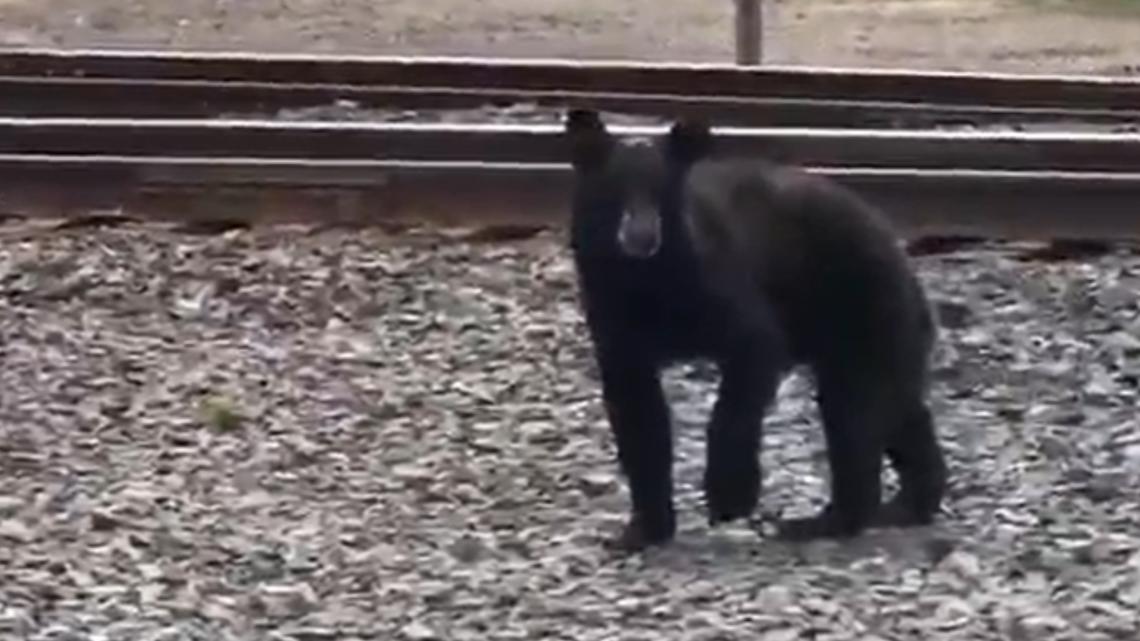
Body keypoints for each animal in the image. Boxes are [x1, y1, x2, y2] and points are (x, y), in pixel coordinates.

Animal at [563, 108, 948, 553]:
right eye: (612, 191)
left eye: (663, 193)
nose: (641, 235)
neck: (647, 283)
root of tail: (895, 245)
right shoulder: (614, 323)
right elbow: (638, 415)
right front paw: (642, 529)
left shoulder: (720, 284)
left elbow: (752, 353)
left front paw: (729, 494)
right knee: (898, 405)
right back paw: (908, 504)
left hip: (863, 306)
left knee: (854, 410)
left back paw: (820, 521)